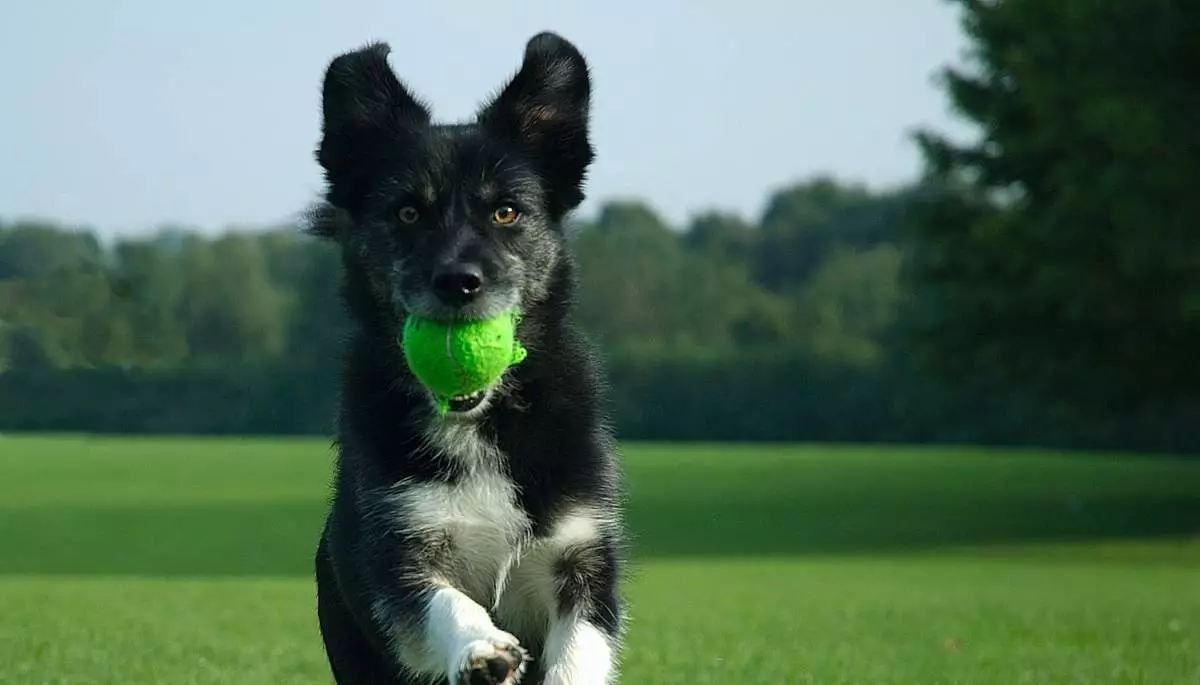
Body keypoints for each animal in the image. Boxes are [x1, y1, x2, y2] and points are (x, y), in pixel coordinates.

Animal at [302, 32, 628, 685]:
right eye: (407, 212)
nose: (458, 282)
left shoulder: (582, 556)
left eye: (506, 211)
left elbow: (579, 650)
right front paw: (482, 647)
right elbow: (438, 603)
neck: (479, 422)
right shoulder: (396, 549)